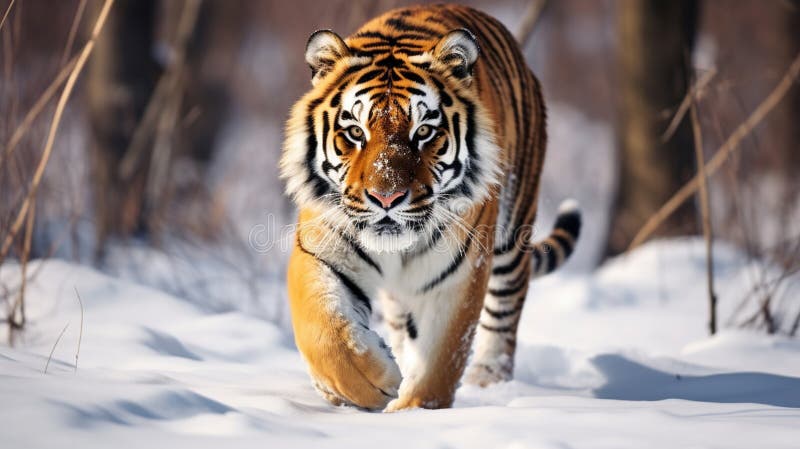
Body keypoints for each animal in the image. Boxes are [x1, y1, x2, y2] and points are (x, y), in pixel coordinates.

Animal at [280, 4, 581, 411]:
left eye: (423, 132)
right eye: (355, 132)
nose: (386, 198)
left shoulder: (459, 274)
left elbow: (441, 358)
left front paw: (415, 412)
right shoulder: (322, 250)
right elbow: (325, 332)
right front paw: (372, 381)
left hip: (512, 235)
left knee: (503, 315)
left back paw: (488, 384)